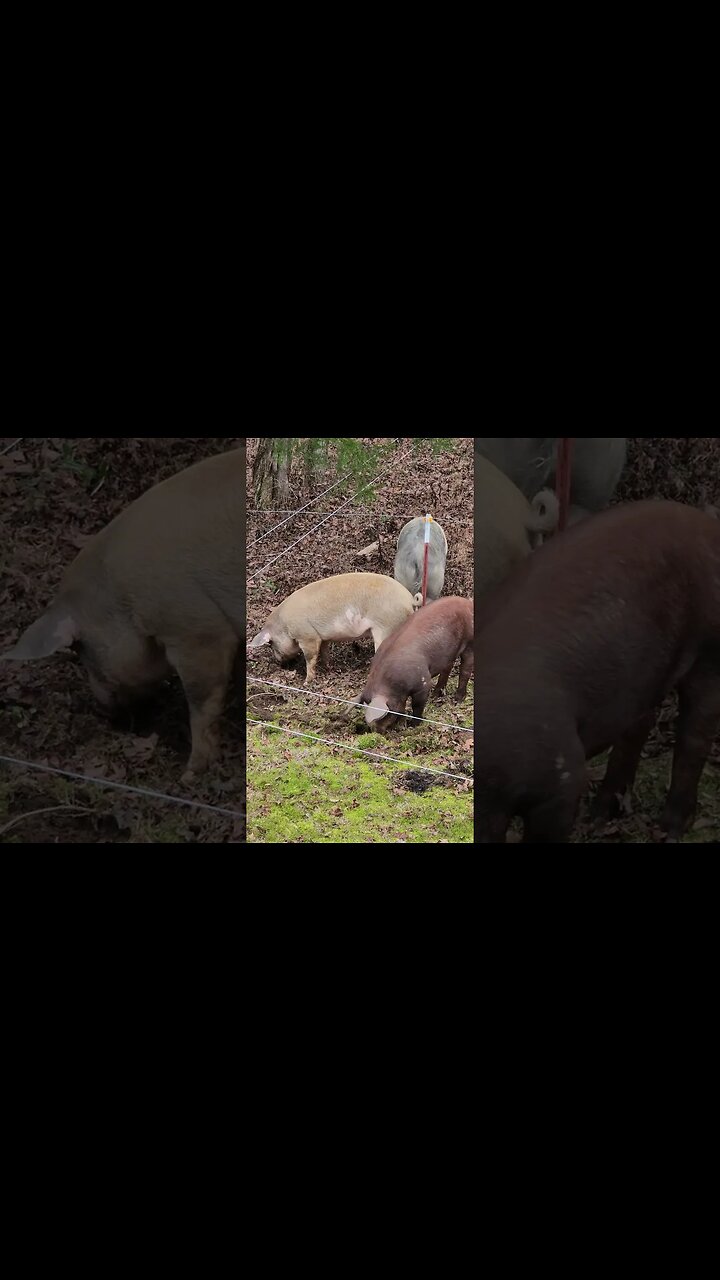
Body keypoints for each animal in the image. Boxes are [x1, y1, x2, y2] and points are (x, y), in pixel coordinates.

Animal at [2, 448, 243, 779]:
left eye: (80, 648)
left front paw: (190, 775)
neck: (118, 599)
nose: (104, 713)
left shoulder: (195, 629)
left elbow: (201, 699)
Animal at [248, 572, 414, 684]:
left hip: (384, 627)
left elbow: (310, 657)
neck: (284, 626)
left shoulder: (307, 635)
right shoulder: (323, 637)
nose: (279, 663)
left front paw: (306, 682)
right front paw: (329, 667)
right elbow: (324, 651)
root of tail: (409, 600)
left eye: (270, 643)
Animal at [359, 596, 473, 727]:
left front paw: (413, 724)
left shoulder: (423, 683)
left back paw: (457, 700)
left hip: (469, 641)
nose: (378, 731)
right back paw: (435, 696)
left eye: (384, 717)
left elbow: (417, 705)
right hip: (449, 652)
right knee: (447, 669)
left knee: (465, 669)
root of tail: (468, 603)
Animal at [474, 500, 720, 843]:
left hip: (710, 647)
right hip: (641, 674)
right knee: (637, 725)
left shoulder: (560, 778)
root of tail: (708, 524)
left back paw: (669, 829)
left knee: (694, 735)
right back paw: (600, 816)